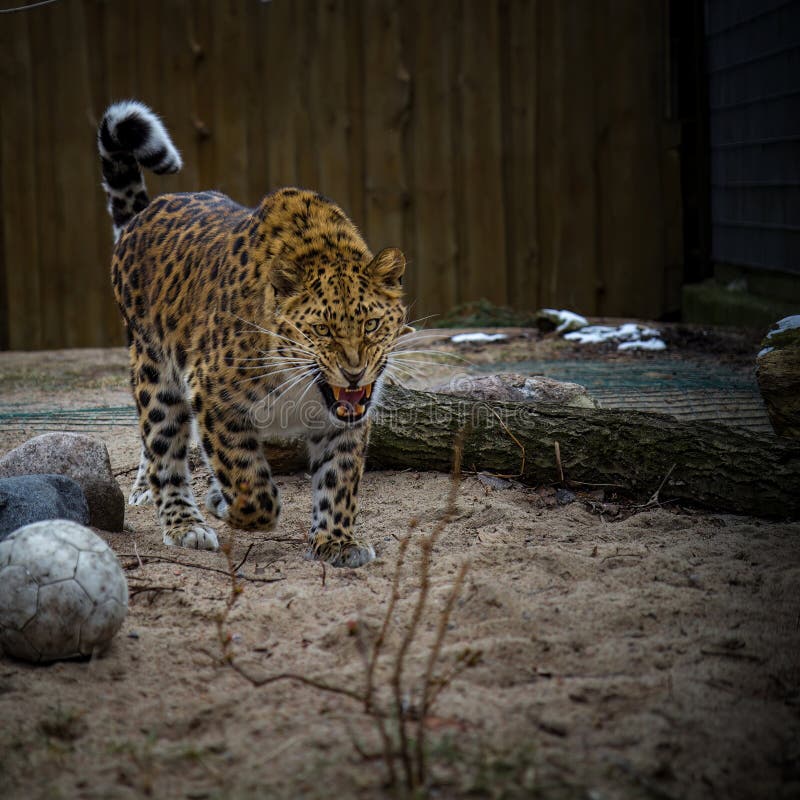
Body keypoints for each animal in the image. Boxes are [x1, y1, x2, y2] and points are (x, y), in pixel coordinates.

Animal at [97, 100, 412, 568]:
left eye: (371, 324)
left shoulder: (346, 421)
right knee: (163, 446)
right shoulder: (211, 393)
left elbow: (339, 481)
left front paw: (337, 540)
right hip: (156, 372)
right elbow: (247, 481)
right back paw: (183, 522)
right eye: (321, 330)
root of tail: (142, 216)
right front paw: (230, 506)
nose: (355, 373)